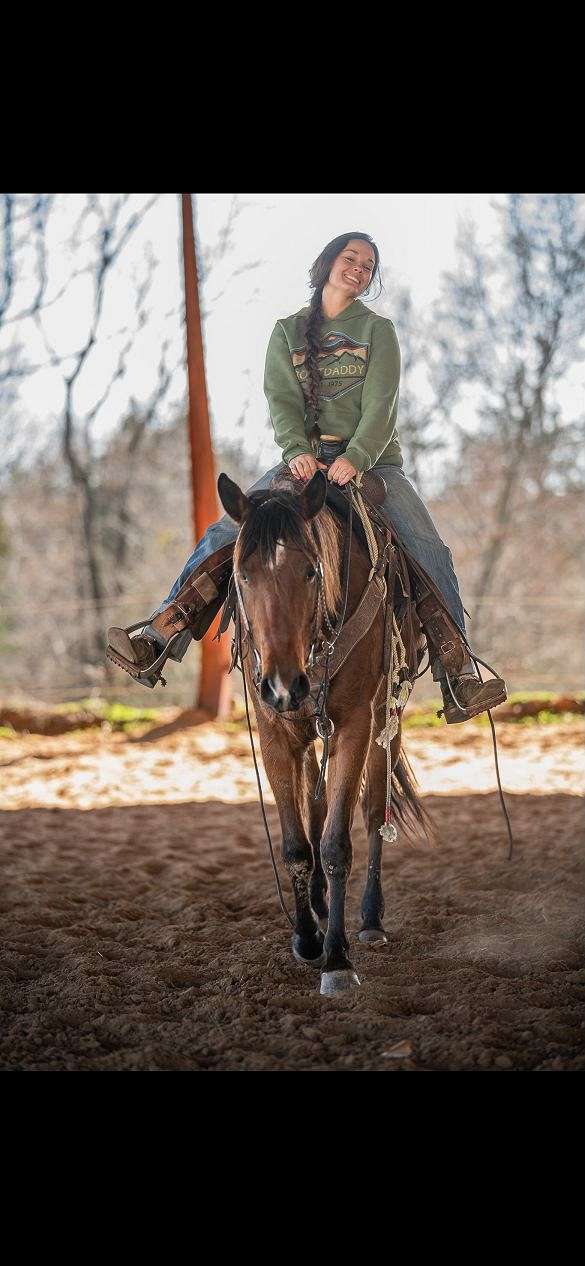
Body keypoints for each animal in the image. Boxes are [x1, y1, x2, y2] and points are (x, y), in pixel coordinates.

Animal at [218, 467, 430, 997]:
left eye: (310, 571)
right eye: (243, 575)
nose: (281, 684)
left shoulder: (355, 724)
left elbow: (336, 843)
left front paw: (336, 958)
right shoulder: (274, 734)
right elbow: (297, 844)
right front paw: (307, 938)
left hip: (387, 720)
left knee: (374, 812)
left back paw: (370, 919)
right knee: (315, 805)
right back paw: (315, 903)